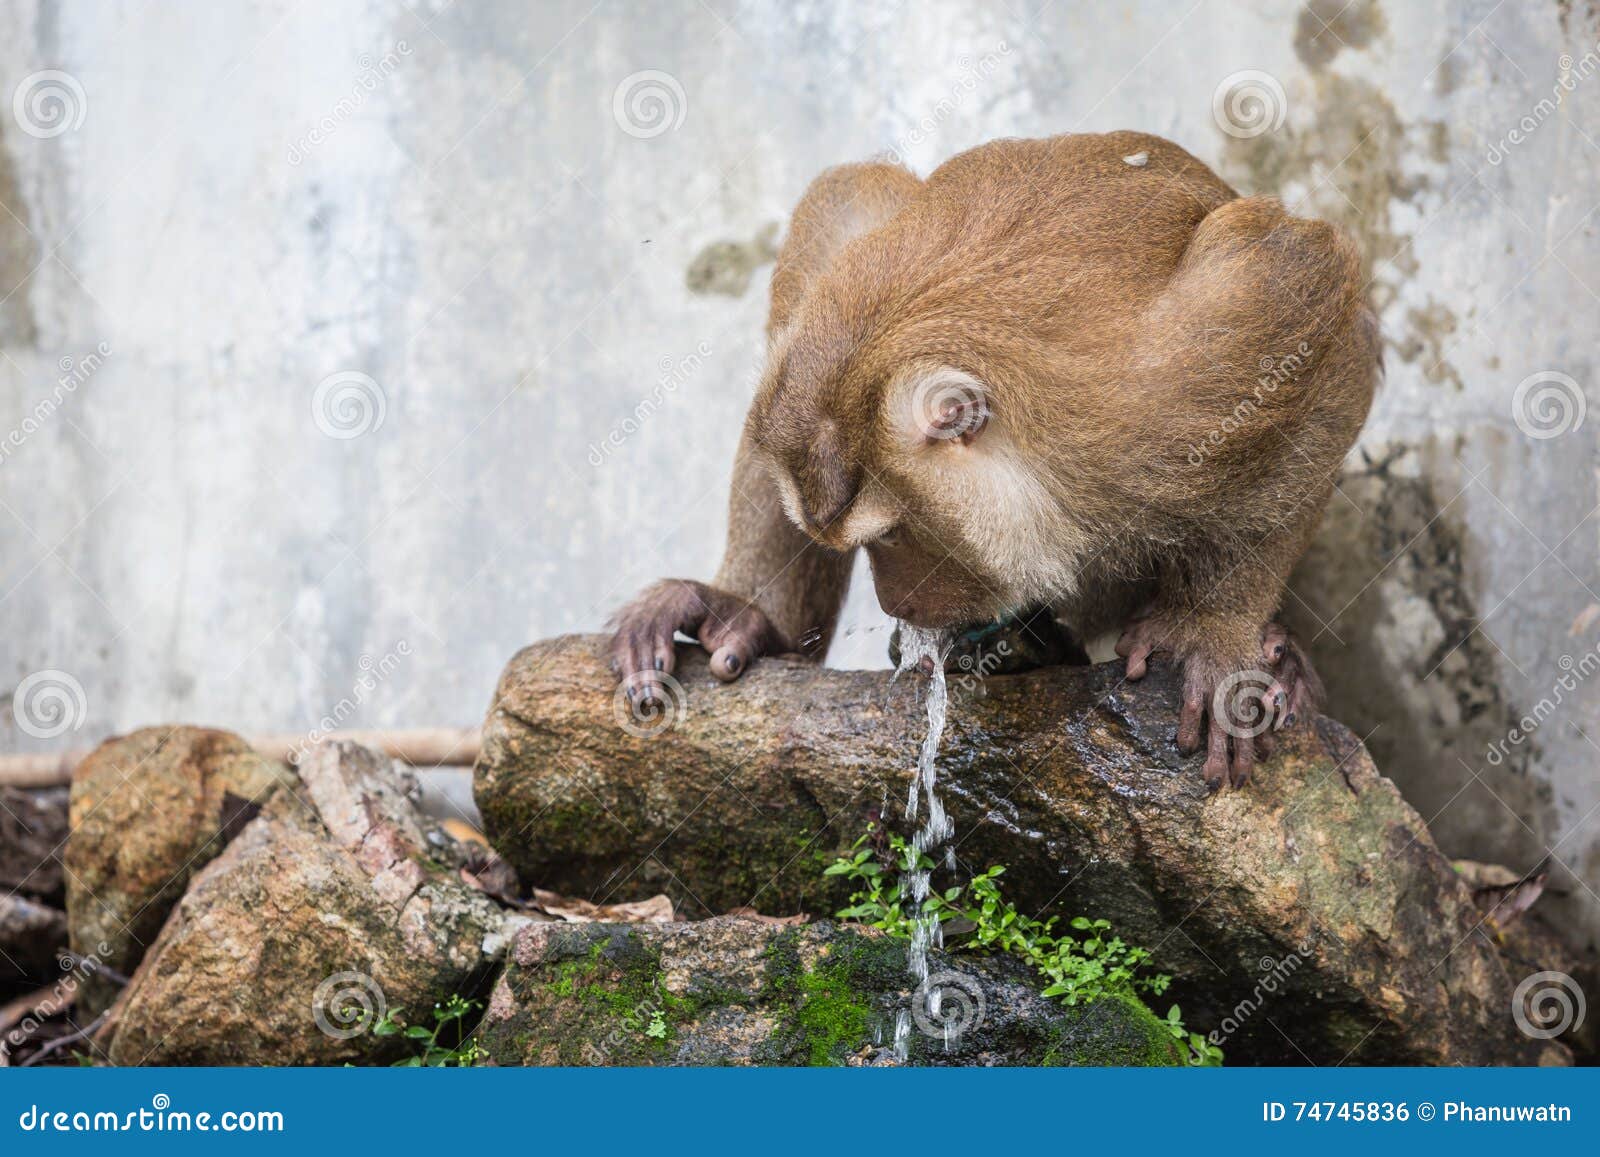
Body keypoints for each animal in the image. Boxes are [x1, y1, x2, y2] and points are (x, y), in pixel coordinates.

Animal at [610, 131, 1379, 791]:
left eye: (893, 535)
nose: (896, 600)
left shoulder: (1170, 386)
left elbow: (1312, 294)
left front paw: (1214, 634)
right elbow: (841, 202)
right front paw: (751, 615)